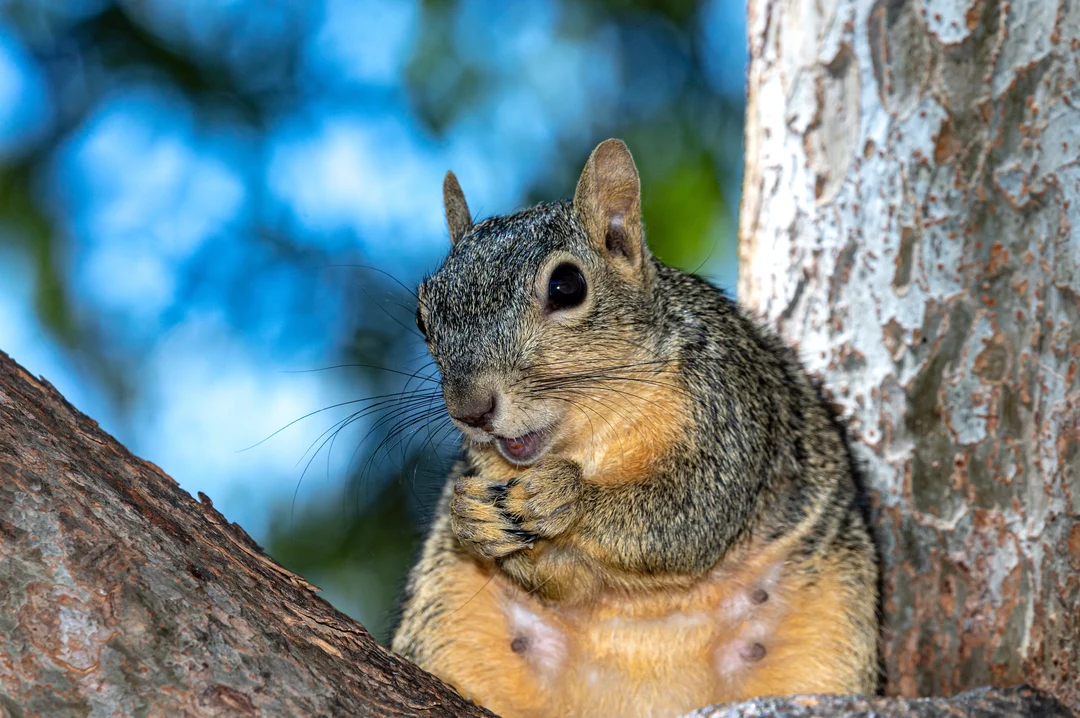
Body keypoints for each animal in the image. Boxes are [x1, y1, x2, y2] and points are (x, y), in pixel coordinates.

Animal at [390, 139, 879, 718]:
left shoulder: (735, 415)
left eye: (567, 286)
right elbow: (563, 582)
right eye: (423, 316)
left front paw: (566, 499)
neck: (591, 435)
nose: (470, 410)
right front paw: (471, 519)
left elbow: (692, 513)